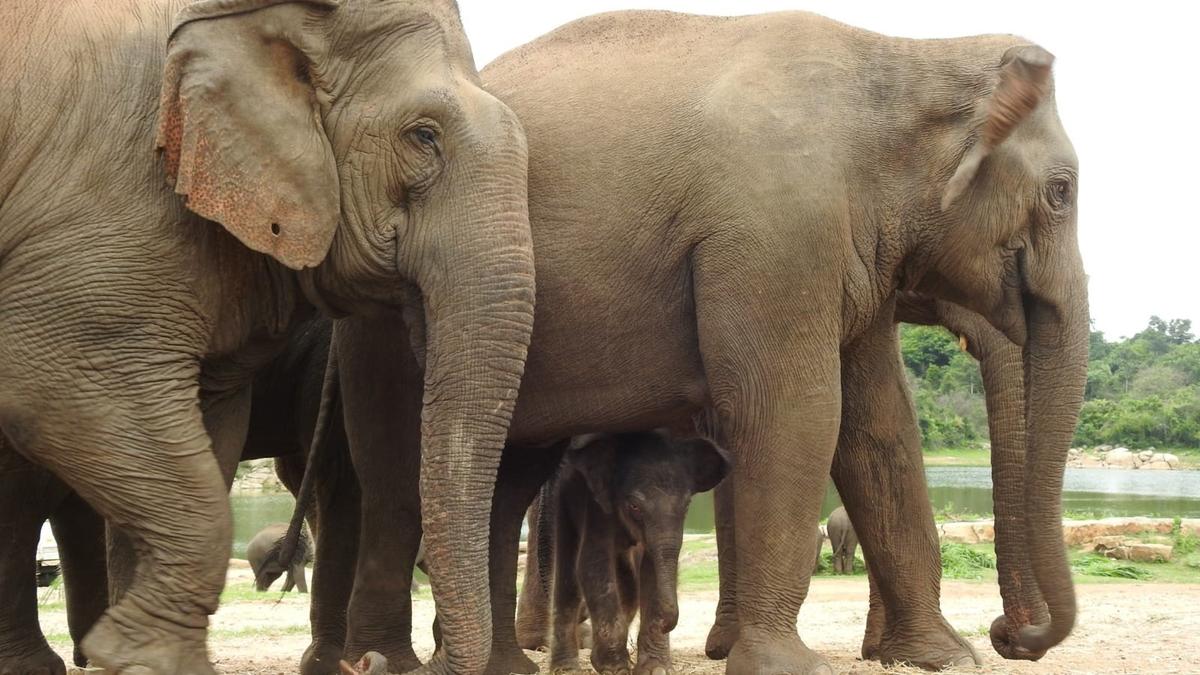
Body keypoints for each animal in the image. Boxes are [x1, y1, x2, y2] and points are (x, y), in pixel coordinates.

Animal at [0, 0, 534, 672]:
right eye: (424, 136)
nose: (372, 663)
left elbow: (207, 424)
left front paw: (126, 655)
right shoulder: (100, 210)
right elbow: (57, 391)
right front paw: (141, 655)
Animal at [335, 9, 1087, 674]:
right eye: (1061, 191)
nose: (1011, 634)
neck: (903, 56)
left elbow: (880, 428)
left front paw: (941, 657)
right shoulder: (776, 230)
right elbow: (794, 414)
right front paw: (785, 665)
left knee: (502, 479)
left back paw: (494, 661)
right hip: (393, 307)